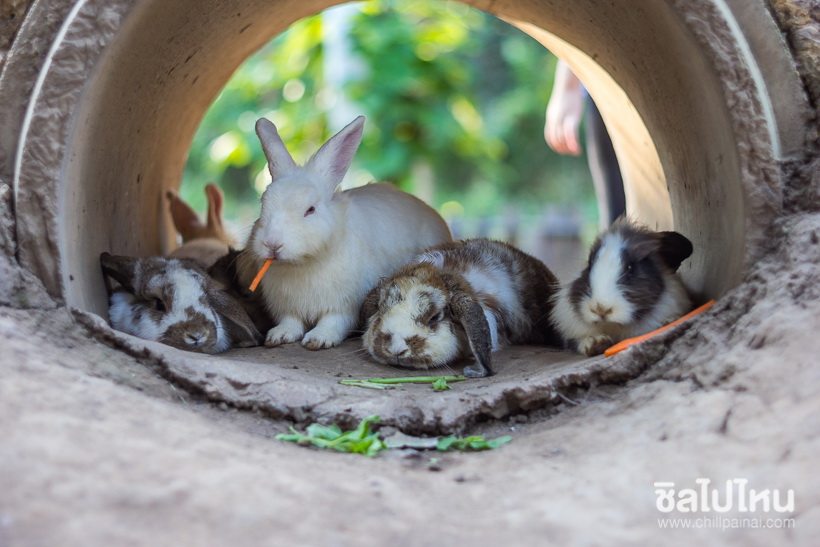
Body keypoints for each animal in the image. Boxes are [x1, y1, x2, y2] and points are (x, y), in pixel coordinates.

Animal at [237, 115, 452, 351]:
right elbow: (291, 321)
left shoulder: (344, 306)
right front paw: (278, 336)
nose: (272, 244)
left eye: (310, 209)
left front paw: (318, 339)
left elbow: (333, 322)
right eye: (263, 204)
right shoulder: (288, 307)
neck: (303, 264)